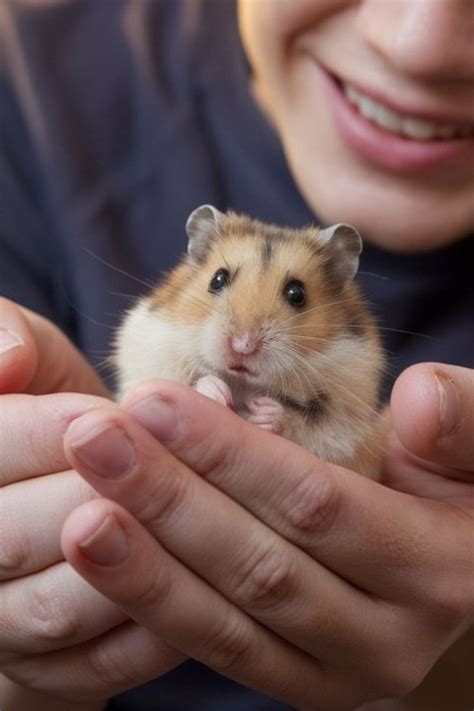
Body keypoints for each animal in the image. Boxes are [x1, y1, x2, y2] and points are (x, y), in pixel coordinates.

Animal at [114, 205, 387, 479]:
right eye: (217, 279)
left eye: (296, 293)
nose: (242, 346)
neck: (241, 382)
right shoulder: (149, 351)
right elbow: (190, 378)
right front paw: (219, 394)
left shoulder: (345, 416)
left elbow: (303, 421)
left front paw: (262, 411)